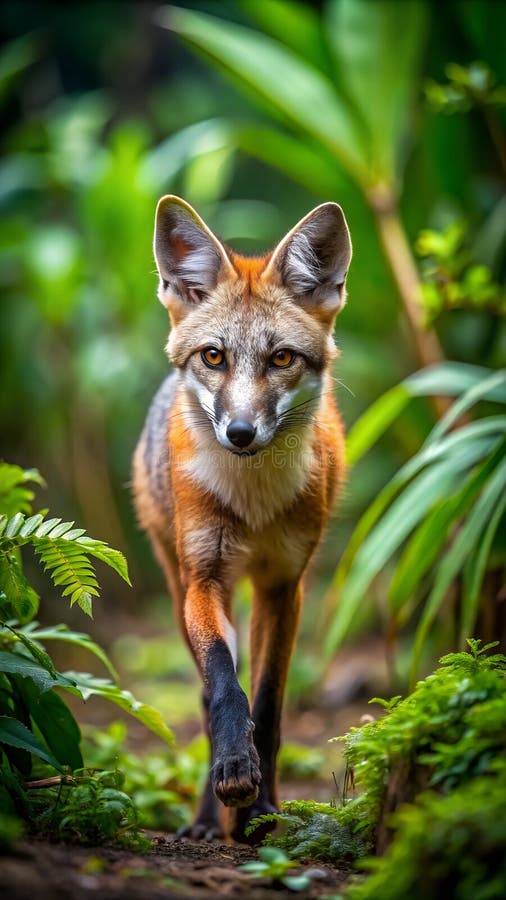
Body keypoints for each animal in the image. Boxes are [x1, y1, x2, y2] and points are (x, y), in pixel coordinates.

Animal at [133, 194, 352, 843]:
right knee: (206, 702)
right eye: (214, 356)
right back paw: (208, 820)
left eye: (281, 358)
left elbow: (270, 706)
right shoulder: (204, 579)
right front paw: (234, 770)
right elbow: (225, 688)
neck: (253, 504)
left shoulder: (284, 585)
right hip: (179, 583)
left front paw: (262, 813)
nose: (240, 433)